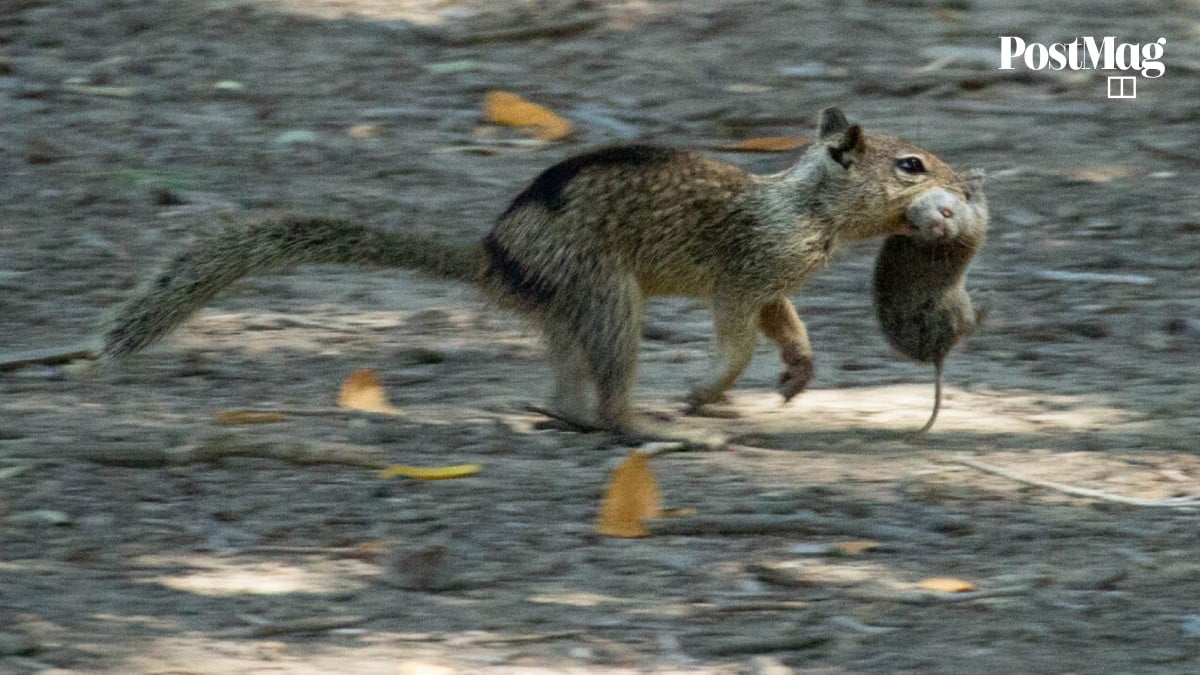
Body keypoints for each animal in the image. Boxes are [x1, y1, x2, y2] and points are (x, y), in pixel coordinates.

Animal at [872, 169, 988, 433]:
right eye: (915, 225)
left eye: (946, 212)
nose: (938, 229)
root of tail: (938, 355)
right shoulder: (976, 226)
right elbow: (981, 209)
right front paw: (974, 179)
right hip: (958, 307)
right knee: (969, 328)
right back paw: (985, 304)